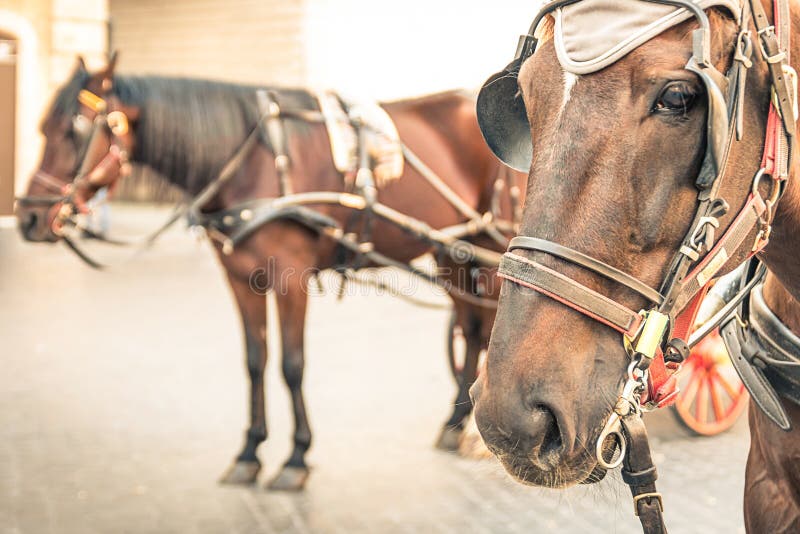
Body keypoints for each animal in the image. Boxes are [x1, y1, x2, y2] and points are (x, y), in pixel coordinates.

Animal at [16, 56, 523, 490]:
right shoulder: (241, 278)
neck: (254, 160)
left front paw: (296, 458)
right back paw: (454, 423)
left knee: (490, 328)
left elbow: (291, 365)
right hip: (452, 251)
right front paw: (250, 451)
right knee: (472, 327)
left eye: (74, 130)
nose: (28, 217)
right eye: (42, 128)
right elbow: (255, 362)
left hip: (493, 246)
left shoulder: (289, 278)